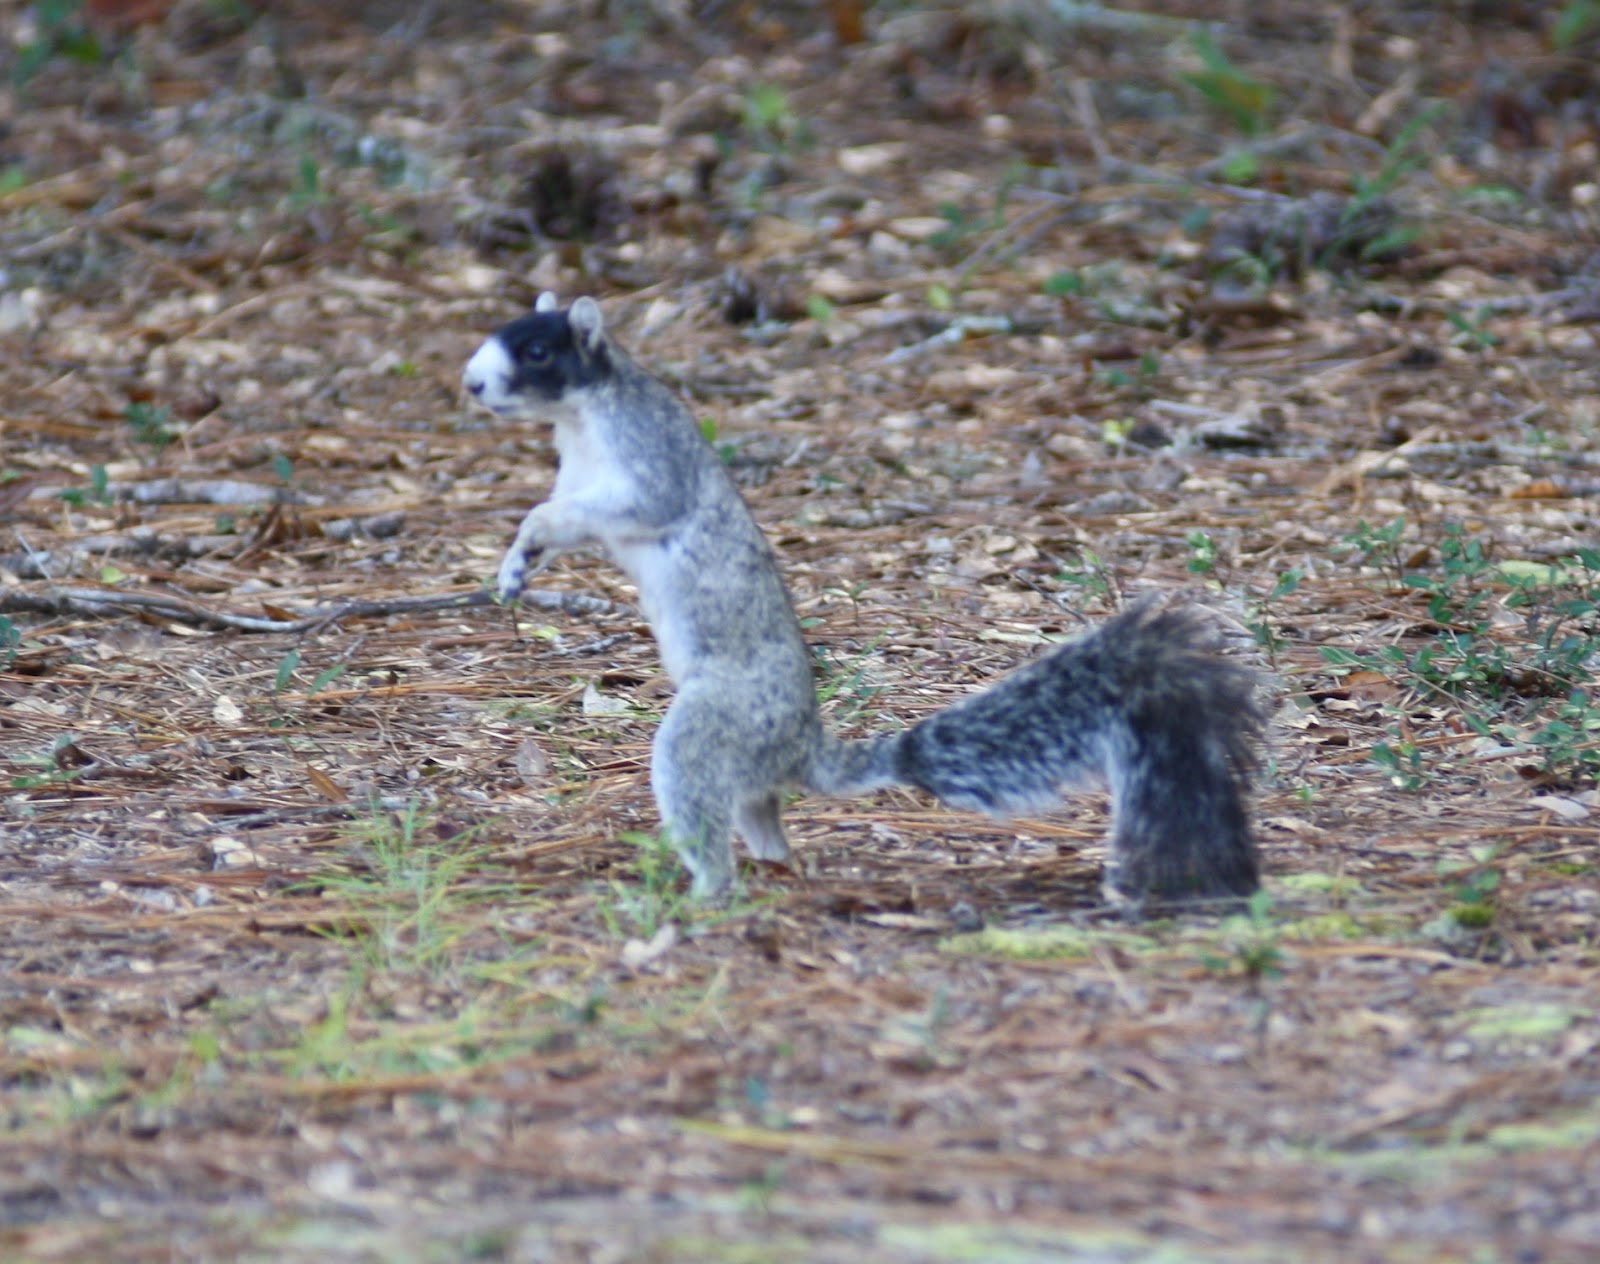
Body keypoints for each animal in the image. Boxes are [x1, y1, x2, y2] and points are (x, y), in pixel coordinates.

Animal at [463, 294, 1265, 907]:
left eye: (537, 350)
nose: (472, 385)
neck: (580, 418)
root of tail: (804, 746)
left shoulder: (649, 457)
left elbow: (622, 506)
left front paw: (531, 540)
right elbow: (559, 521)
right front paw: (516, 566)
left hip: (715, 723)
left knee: (707, 802)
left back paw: (706, 894)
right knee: (760, 810)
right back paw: (774, 865)